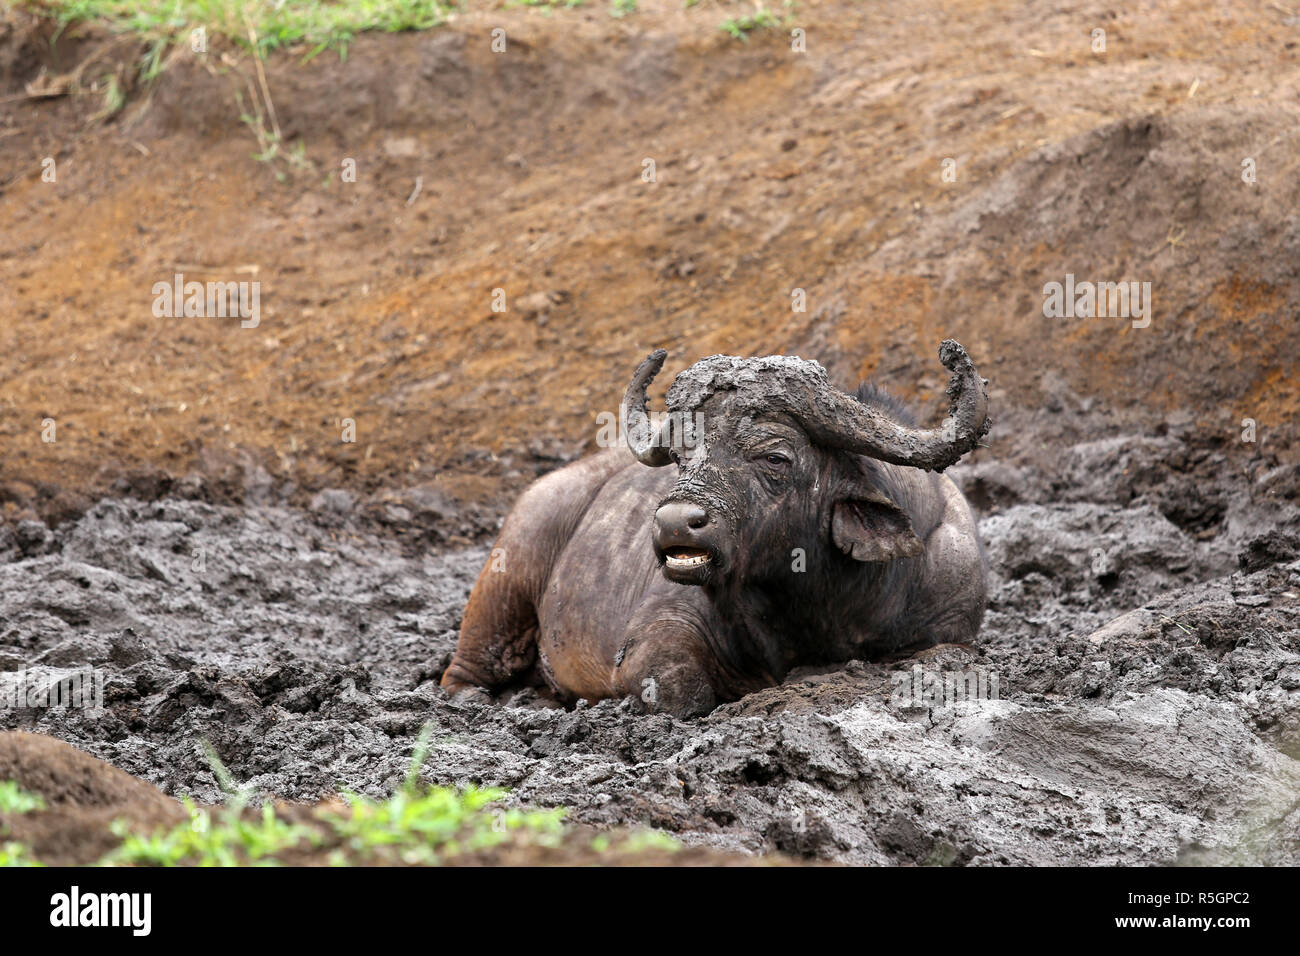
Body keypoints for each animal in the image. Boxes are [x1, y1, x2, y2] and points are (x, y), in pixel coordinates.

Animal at [442, 340, 991, 717]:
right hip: (504, 584)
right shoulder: (654, 636)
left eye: (774, 457)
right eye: (683, 454)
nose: (673, 523)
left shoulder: (953, 631)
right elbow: (680, 690)